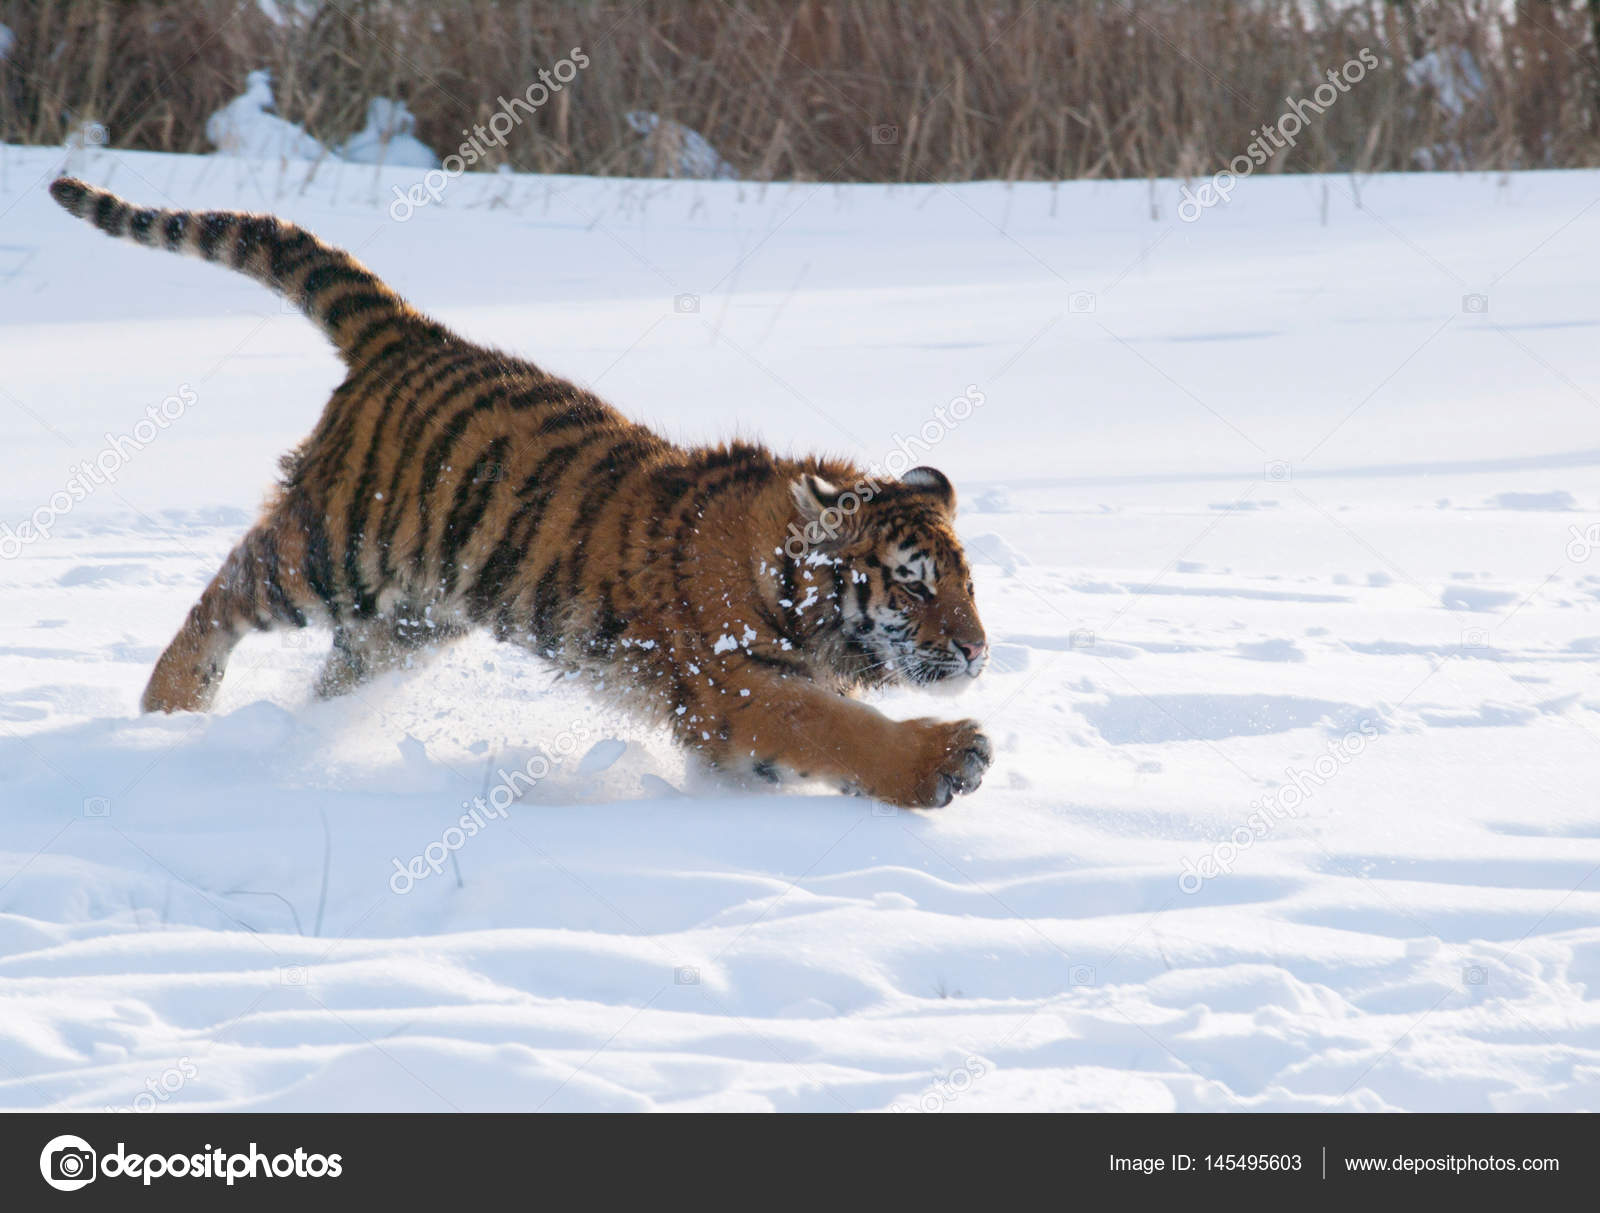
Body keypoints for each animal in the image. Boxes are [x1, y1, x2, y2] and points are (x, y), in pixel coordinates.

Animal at [48, 176, 993, 809]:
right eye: (913, 585)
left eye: (967, 583)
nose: (981, 652)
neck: (801, 596)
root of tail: (407, 330)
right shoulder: (740, 688)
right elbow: (842, 730)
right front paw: (950, 760)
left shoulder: (734, 721)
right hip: (330, 550)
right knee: (225, 594)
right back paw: (170, 707)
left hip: (410, 616)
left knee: (330, 673)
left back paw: (295, 742)